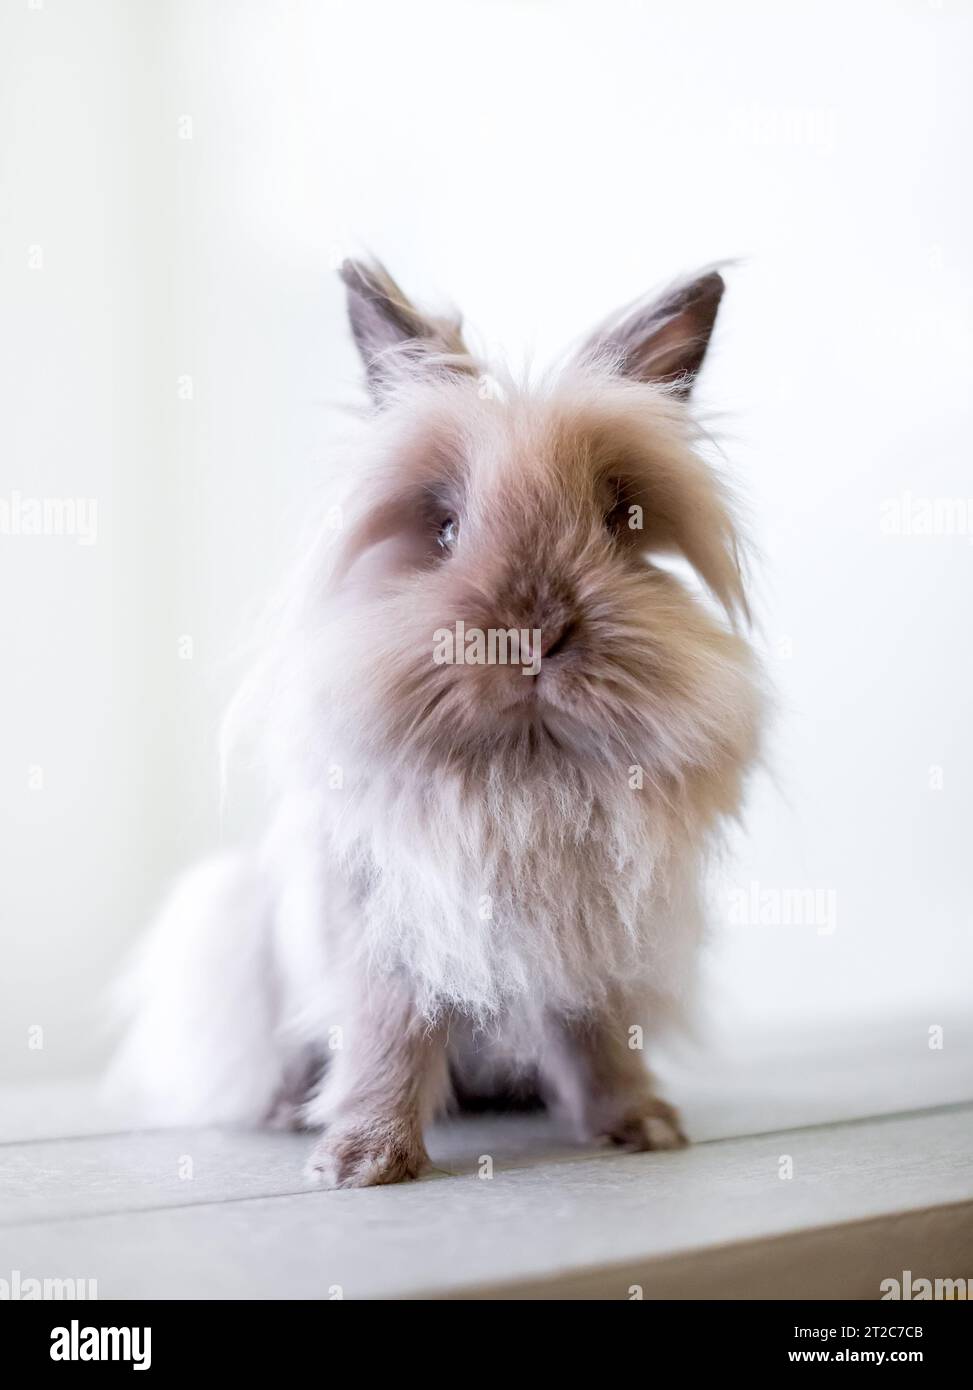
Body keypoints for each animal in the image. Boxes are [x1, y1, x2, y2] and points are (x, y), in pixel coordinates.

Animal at [111, 259, 762, 1188]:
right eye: (444, 529)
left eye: (619, 523)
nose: (532, 631)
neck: (523, 776)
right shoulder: (386, 929)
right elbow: (388, 1034)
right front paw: (360, 1161)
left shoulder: (598, 940)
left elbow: (597, 1037)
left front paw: (641, 1125)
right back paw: (286, 1114)